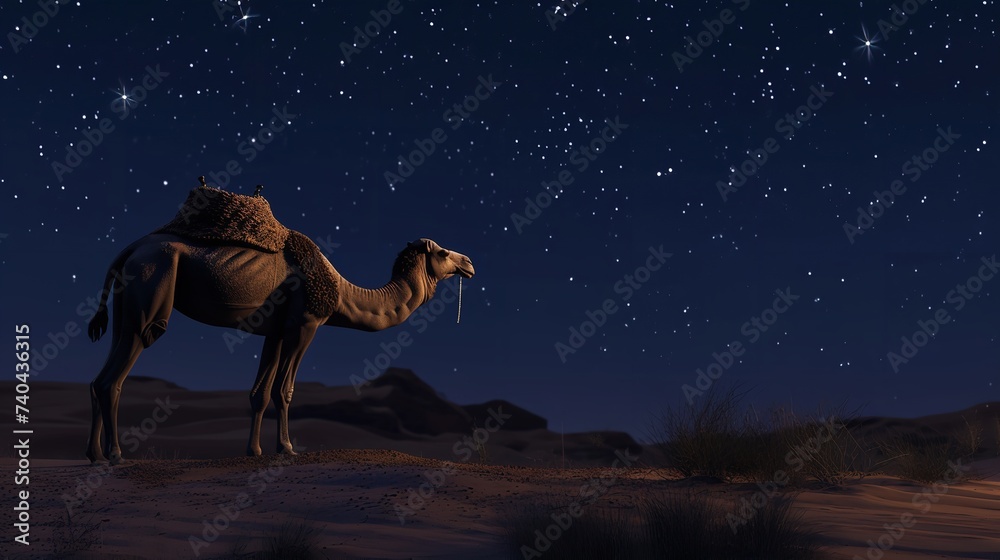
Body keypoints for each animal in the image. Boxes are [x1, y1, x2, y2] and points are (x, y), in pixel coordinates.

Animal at [85, 228, 474, 465]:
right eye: (442, 251)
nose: (469, 263)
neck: (342, 293)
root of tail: (130, 249)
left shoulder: (274, 331)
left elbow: (259, 392)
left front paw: (254, 451)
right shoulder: (305, 323)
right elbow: (284, 390)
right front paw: (287, 448)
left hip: (124, 305)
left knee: (97, 379)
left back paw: (95, 454)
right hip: (149, 293)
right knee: (113, 379)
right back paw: (116, 454)